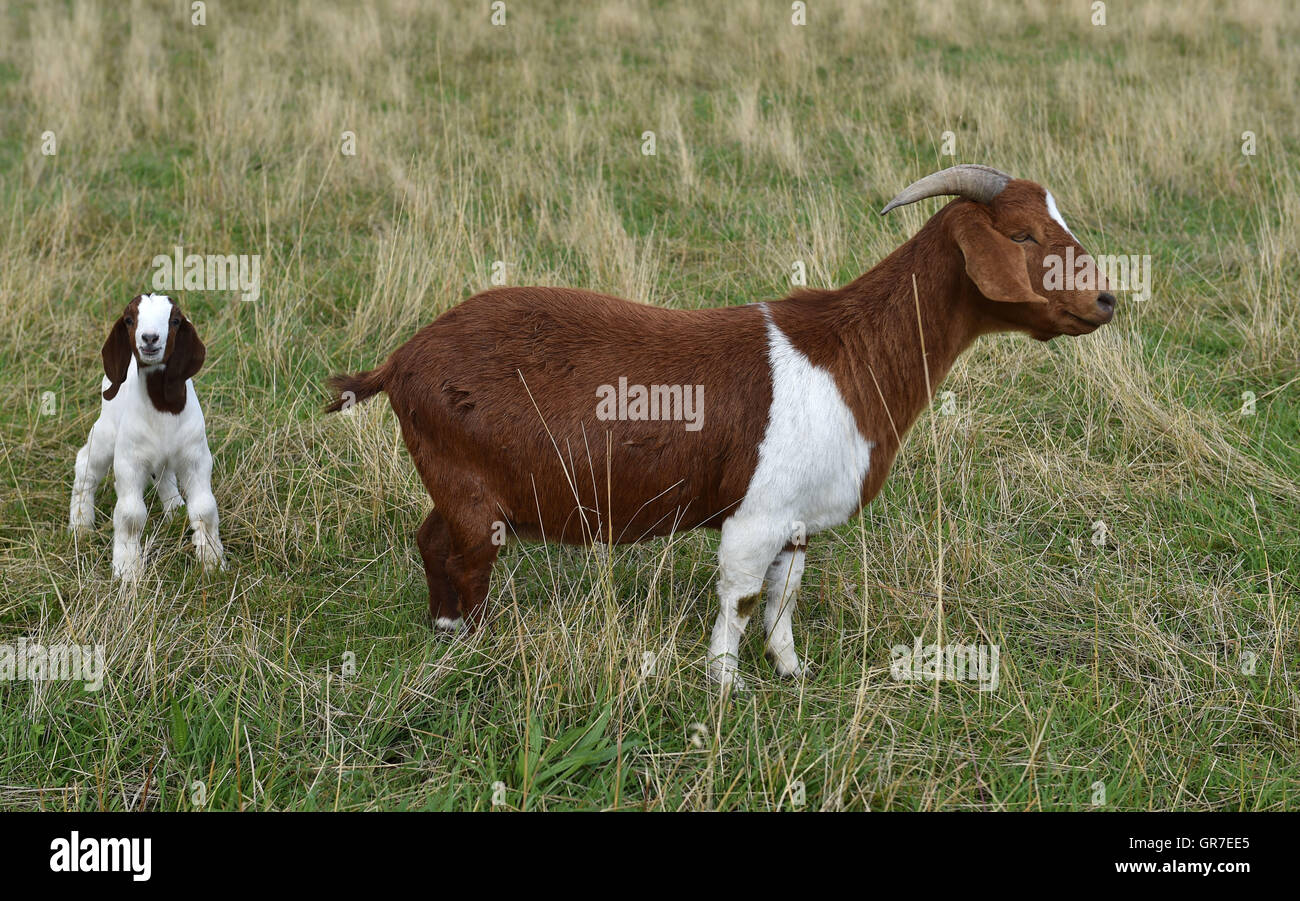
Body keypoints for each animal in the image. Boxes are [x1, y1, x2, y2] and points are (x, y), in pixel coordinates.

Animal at [70, 294, 225, 580]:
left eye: (174, 320)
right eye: (129, 319)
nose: (150, 338)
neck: (163, 405)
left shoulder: (196, 457)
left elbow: (205, 507)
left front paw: (212, 562)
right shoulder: (129, 462)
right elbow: (131, 515)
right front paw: (128, 570)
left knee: (163, 475)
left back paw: (175, 510)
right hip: (107, 430)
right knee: (86, 464)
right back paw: (81, 525)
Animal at [327, 165, 1114, 689]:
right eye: (1023, 235)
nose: (1106, 299)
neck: (850, 354)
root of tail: (399, 360)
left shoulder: (795, 518)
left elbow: (783, 596)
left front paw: (791, 671)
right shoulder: (754, 514)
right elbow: (738, 597)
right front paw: (725, 684)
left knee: (430, 539)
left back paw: (444, 630)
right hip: (467, 484)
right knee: (460, 554)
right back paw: (470, 644)